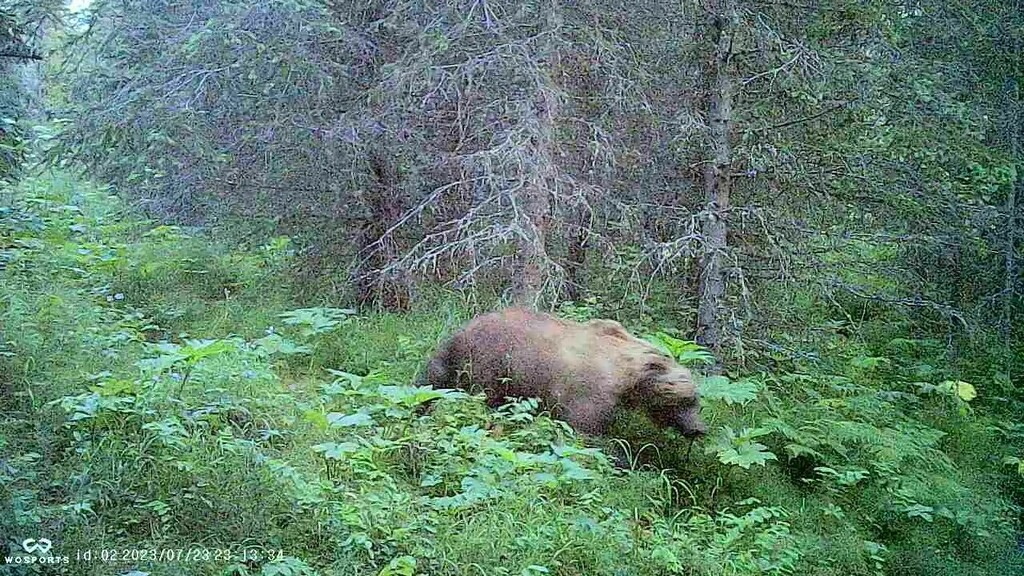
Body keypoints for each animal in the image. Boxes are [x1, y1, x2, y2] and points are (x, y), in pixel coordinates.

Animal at [422, 307, 707, 438]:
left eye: (696, 401)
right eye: (686, 399)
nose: (698, 429)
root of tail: (462, 331)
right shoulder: (588, 390)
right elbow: (584, 426)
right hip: (490, 363)